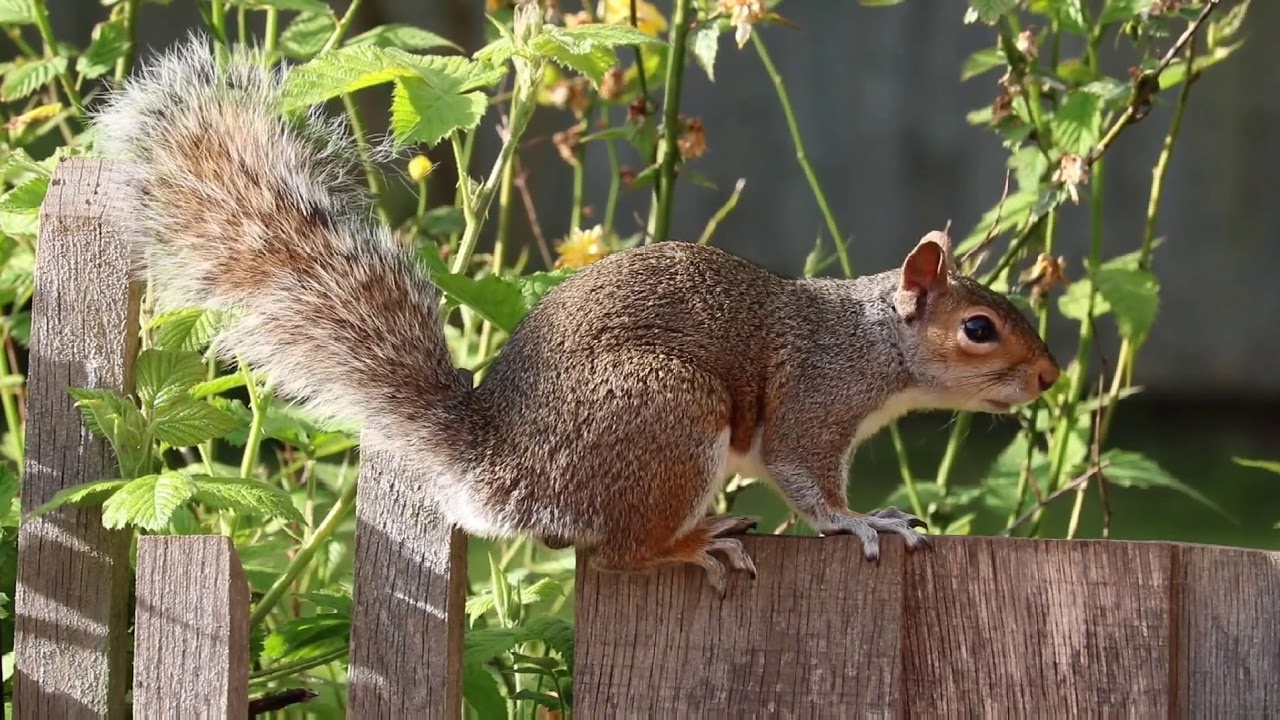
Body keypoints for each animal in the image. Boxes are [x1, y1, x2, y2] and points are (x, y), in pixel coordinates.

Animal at [90, 38, 1060, 596]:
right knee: (617, 555)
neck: (874, 342)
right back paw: (694, 543)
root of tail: (496, 470)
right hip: (667, 417)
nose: (1050, 375)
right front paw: (864, 523)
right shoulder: (816, 403)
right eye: (979, 328)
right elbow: (809, 481)